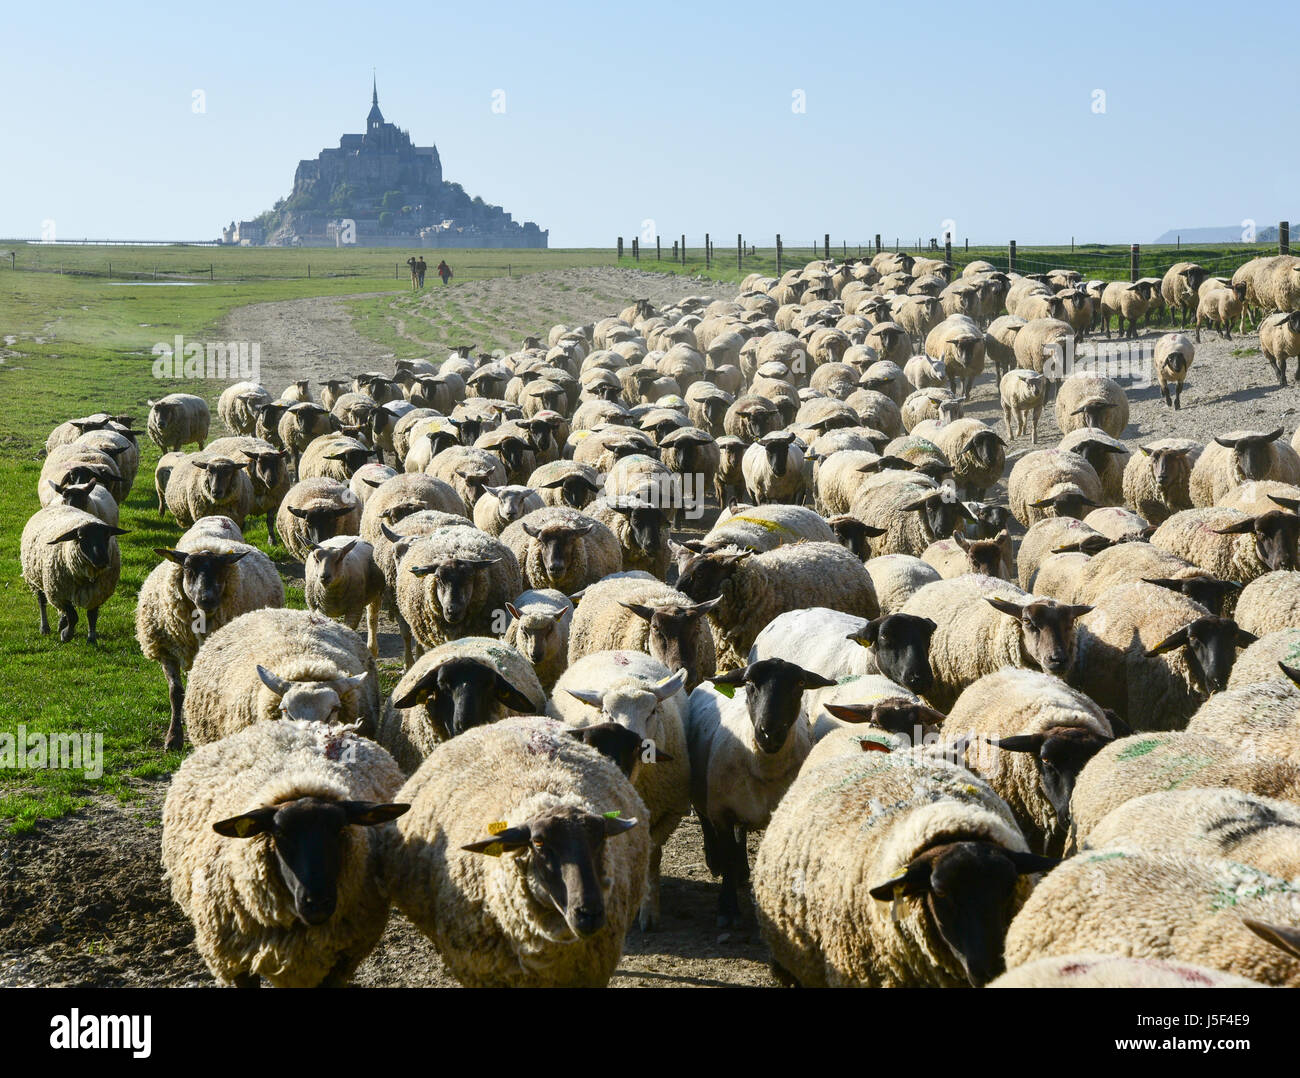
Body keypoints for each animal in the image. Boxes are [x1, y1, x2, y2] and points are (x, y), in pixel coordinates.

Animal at [19, 505, 127, 644]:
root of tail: (56, 505)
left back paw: (61, 623)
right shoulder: (59, 593)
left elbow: (92, 616)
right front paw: (66, 635)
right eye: (81, 537)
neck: (88, 577)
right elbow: (73, 616)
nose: (102, 560)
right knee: (42, 601)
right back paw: (45, 628)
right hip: (36, 578)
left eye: (107, 536)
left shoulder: (97, 593)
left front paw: (91, 639)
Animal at [137, 519, 284, 750]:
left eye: (221, 570)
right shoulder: (166, 651)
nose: (207, 600)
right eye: (188, 569)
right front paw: (173, 737)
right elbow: (175, 693)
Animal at [685, 660, 839, 927]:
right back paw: (714, 862)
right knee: (705, 821)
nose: (770, 733)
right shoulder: (721, 812)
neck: (764, 768)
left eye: (800, 683)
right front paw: (727, 908)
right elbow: (727, 856)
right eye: (749, 683)